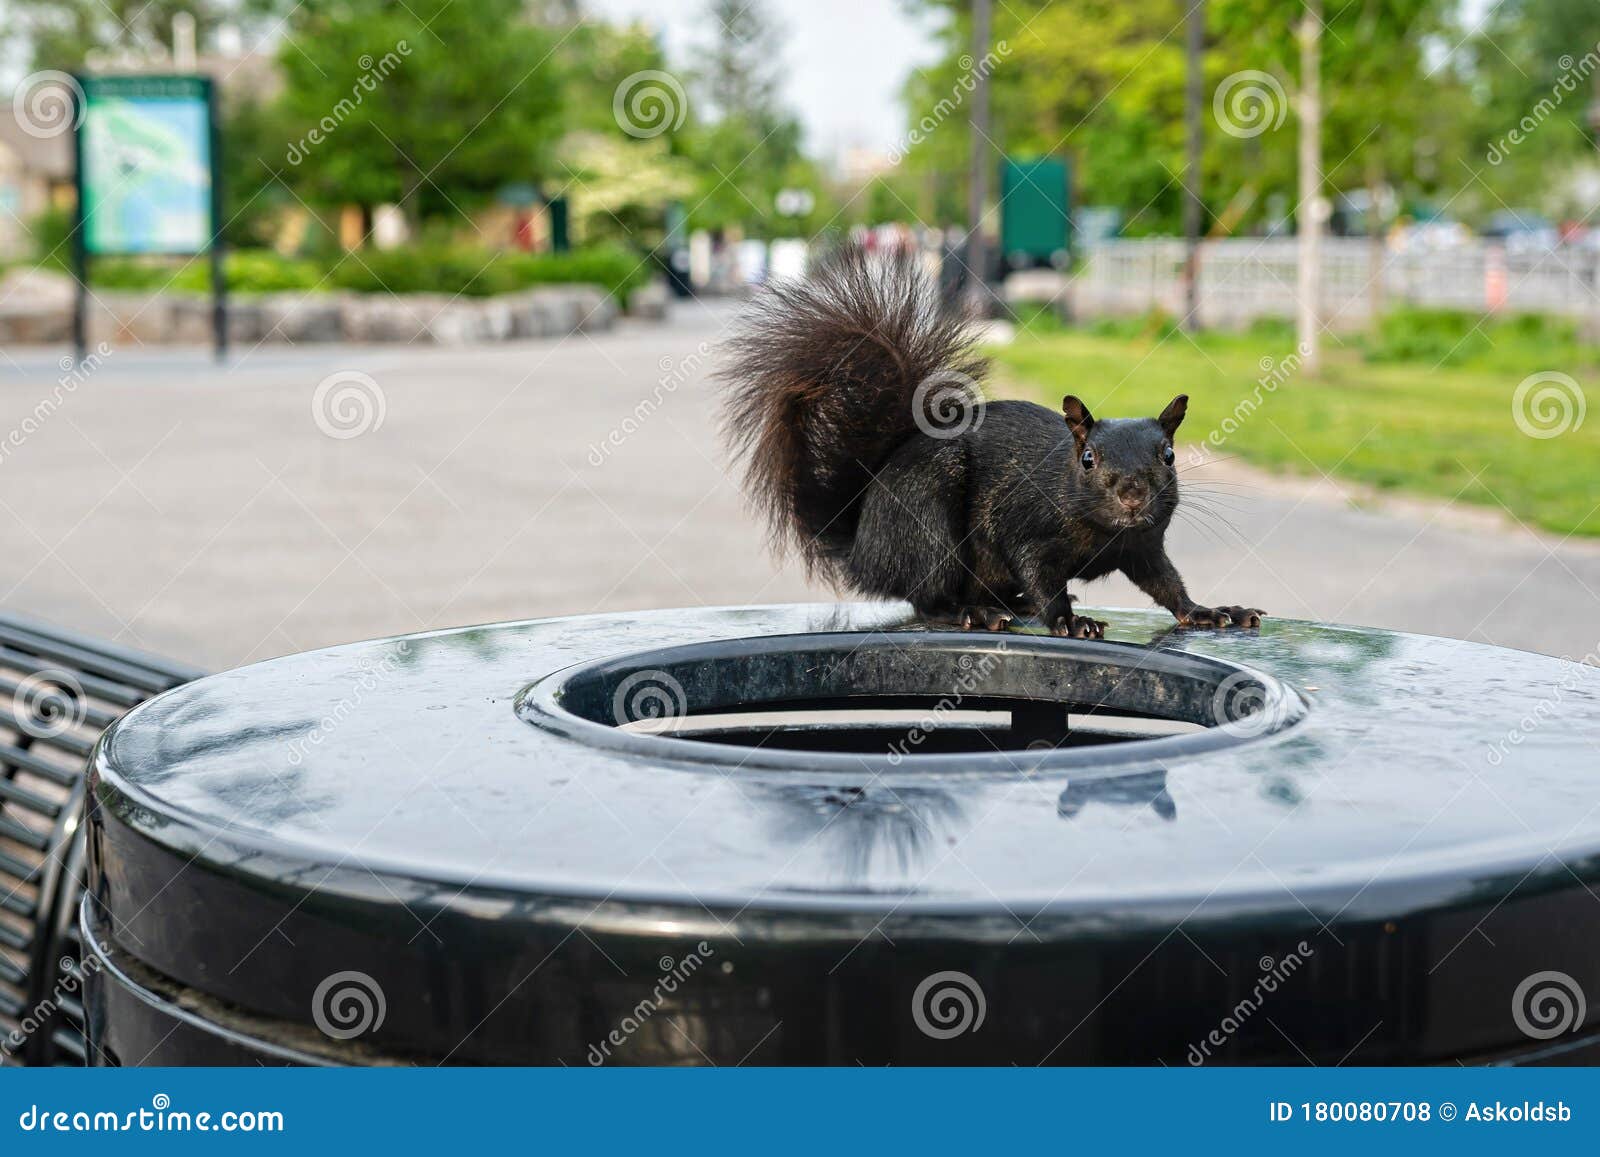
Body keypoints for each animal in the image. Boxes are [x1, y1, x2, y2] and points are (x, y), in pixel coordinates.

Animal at [717, 247, 1264, 638]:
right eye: (1088, 458)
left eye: (1168, 456)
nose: (1133, 495)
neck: (1101, 530)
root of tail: (864, 546)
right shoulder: (1025, 528)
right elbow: (1040, 576)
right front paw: (1069, 621)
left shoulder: (1142, 545)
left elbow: (1166, 584)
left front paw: (1210, 611)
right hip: (928, 519)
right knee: (926, 598)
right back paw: (973, 613)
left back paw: (1005, 603)